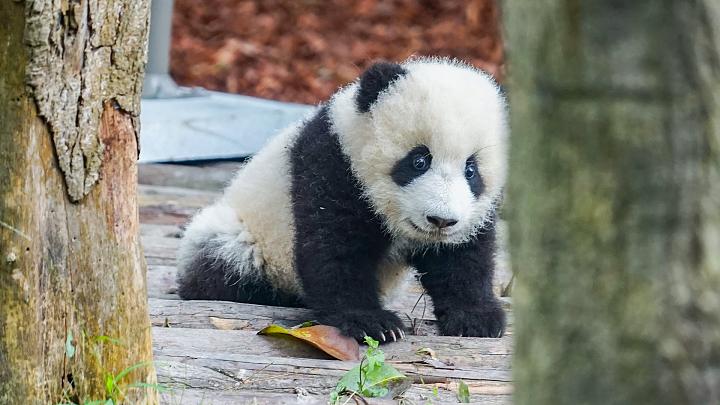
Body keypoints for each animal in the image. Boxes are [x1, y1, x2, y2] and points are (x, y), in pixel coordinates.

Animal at [176, 57, 508, 342]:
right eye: (418, 161)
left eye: (471, 171)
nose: (440, 220)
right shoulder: (332, 164)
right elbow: (334, 246)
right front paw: (370, 321)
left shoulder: (470, 214)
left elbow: (462, 257)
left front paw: (476, 318)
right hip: (245, 235)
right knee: (224, 256)